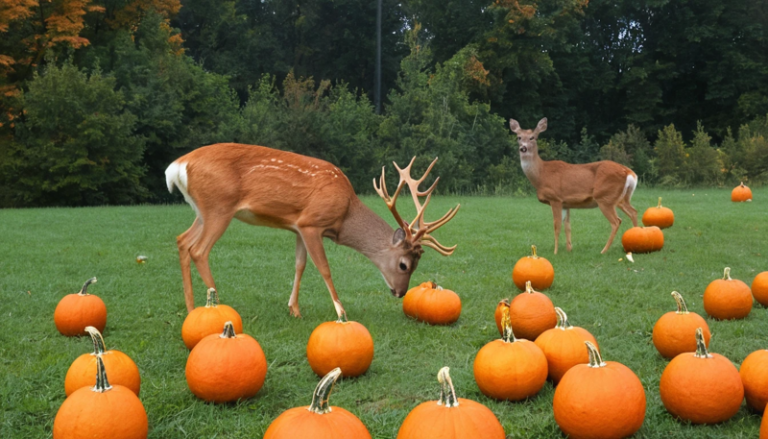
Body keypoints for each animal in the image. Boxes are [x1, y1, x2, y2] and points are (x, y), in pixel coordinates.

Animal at [165, 143, 460, 319]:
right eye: (403, 265)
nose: (400, 293)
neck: (344, 214)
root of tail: (176, 167)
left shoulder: (297, 226)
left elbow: (300, 264)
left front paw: (294, 309)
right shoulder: (311, 223)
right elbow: (324, 268)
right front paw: (341, 311)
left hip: (202, 210)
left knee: (182, 240)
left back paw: (192, 309)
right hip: (219, 206)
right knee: (198, 250)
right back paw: (218, 307)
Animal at [510, 118, 638, 254]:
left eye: (532, 137)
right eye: (518, 137)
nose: (523, 148)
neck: (541, 175)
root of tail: (629, 172)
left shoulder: (555, 198)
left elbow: (556, 225)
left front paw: (555, 252)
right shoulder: (566, 203)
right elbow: (567, 226)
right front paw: (569, 249)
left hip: (605, 197)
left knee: (616, 221)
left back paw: (604, 250)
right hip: (620, 198)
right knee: (633, 212)